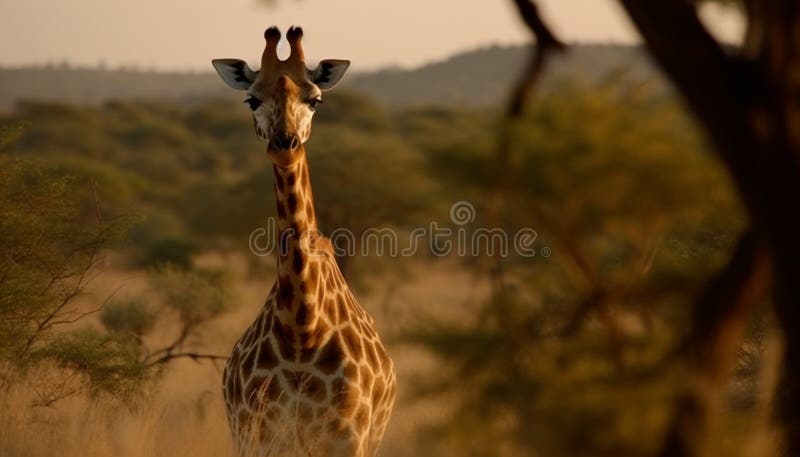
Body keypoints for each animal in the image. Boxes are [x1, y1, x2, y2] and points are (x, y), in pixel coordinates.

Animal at [211, 27, 396, 457]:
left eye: (315, 99)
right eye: (252, 99)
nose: (285, 145)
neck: (301, 326)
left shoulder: (348, 438)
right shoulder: (257, 436)